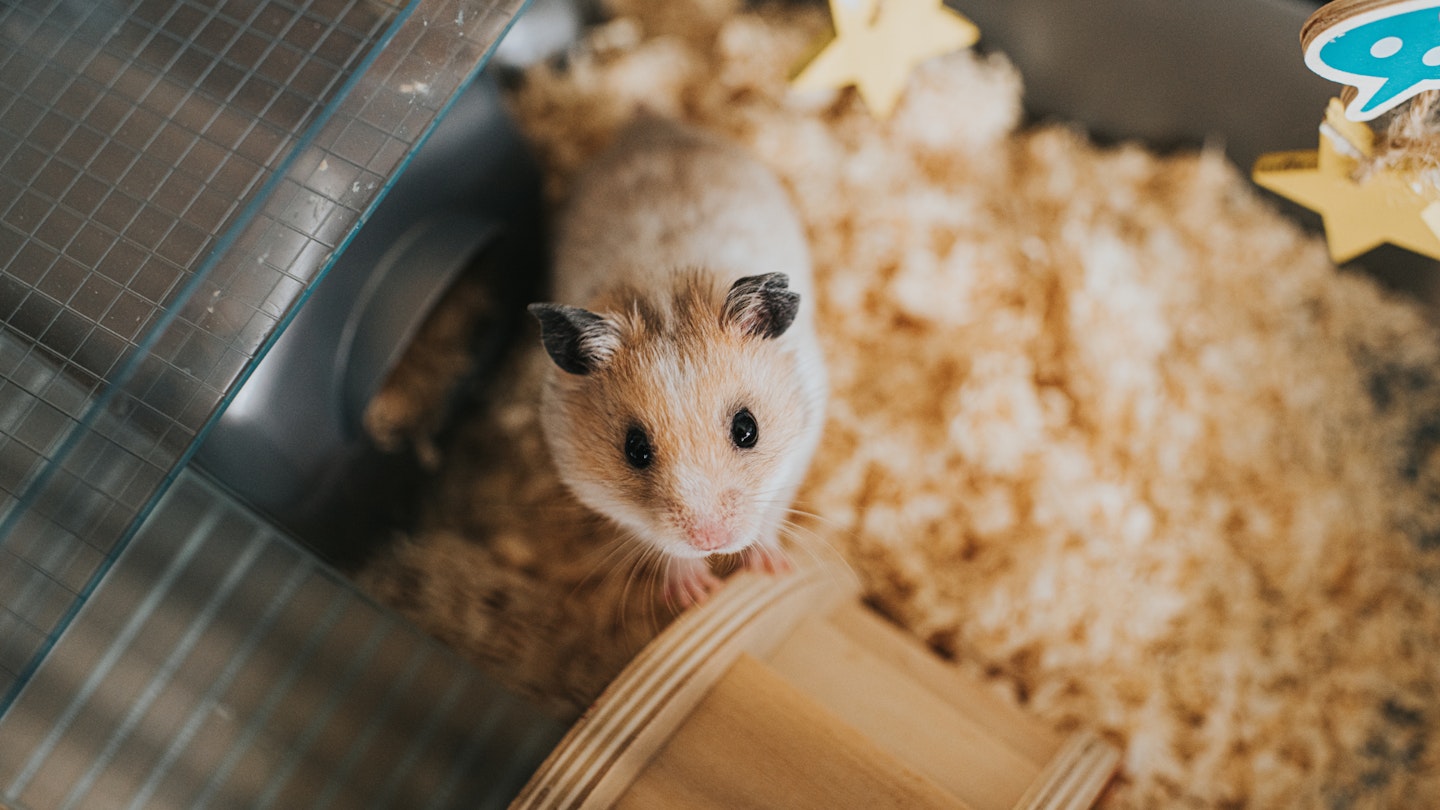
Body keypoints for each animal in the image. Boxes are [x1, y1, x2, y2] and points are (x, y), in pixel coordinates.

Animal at [528, 117, 826, 608]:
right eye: (635, 450)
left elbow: (771, 513)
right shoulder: (592, 487)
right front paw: (695, 594)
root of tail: (649, 122)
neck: (664, 299)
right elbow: (657, 541)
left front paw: (771, 569)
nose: (711, 542)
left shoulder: (802, 442)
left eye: (748, 429)